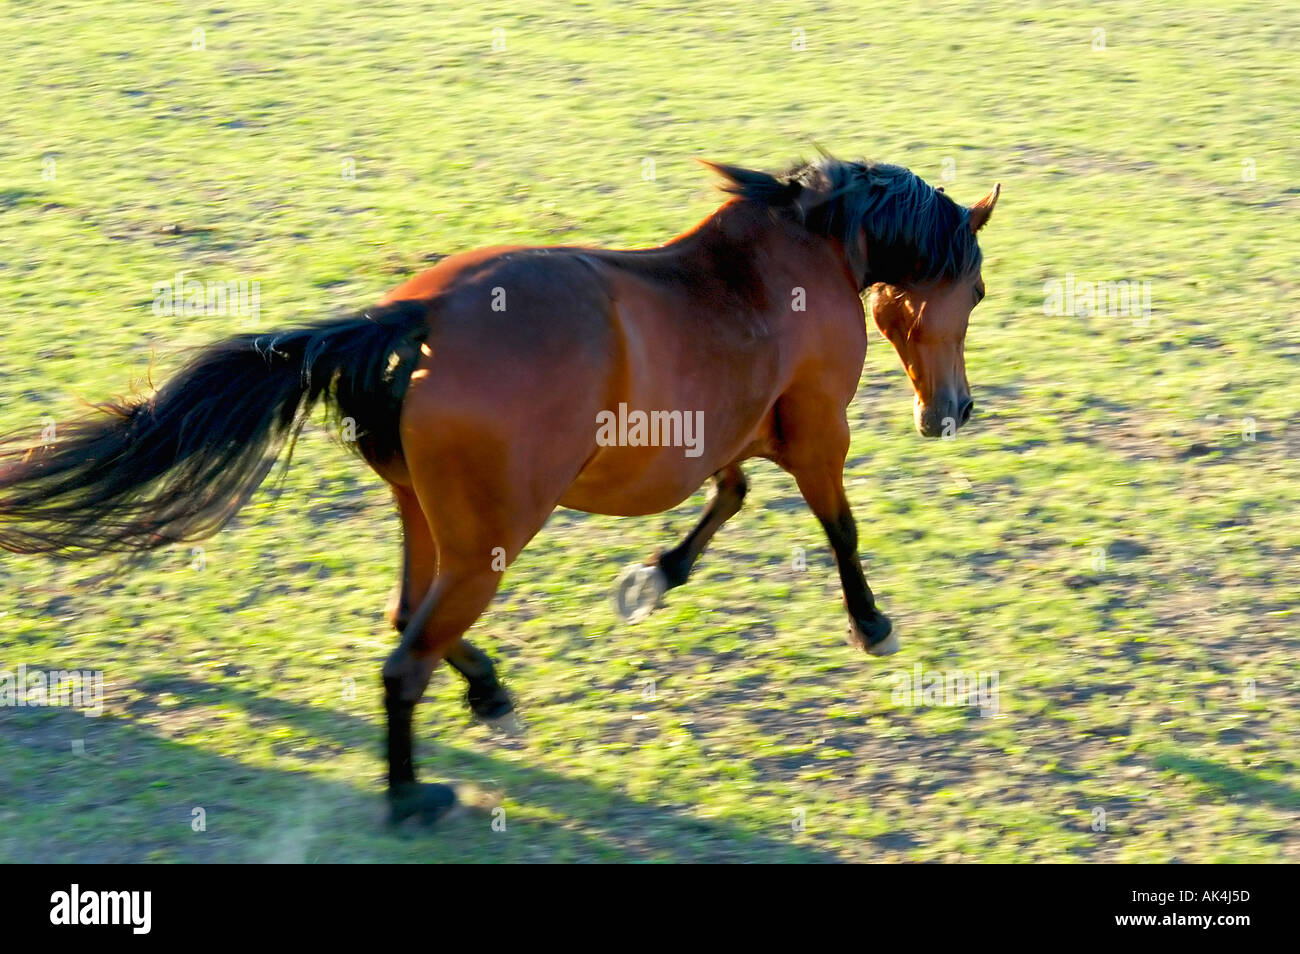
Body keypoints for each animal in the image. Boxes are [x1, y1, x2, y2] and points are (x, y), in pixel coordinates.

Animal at [0, 155, 999, 824]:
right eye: (980, 290)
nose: (954, 410)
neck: (803, 259)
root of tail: (415, 316)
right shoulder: (817, 432)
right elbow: (837, 527)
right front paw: (871, 622)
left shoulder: (736, 434)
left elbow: (730, 498)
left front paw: (654, 577)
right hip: (491, 539)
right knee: (408, 655)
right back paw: (413, 796)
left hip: (427, 519)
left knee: (409, 618)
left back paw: (484, 692)